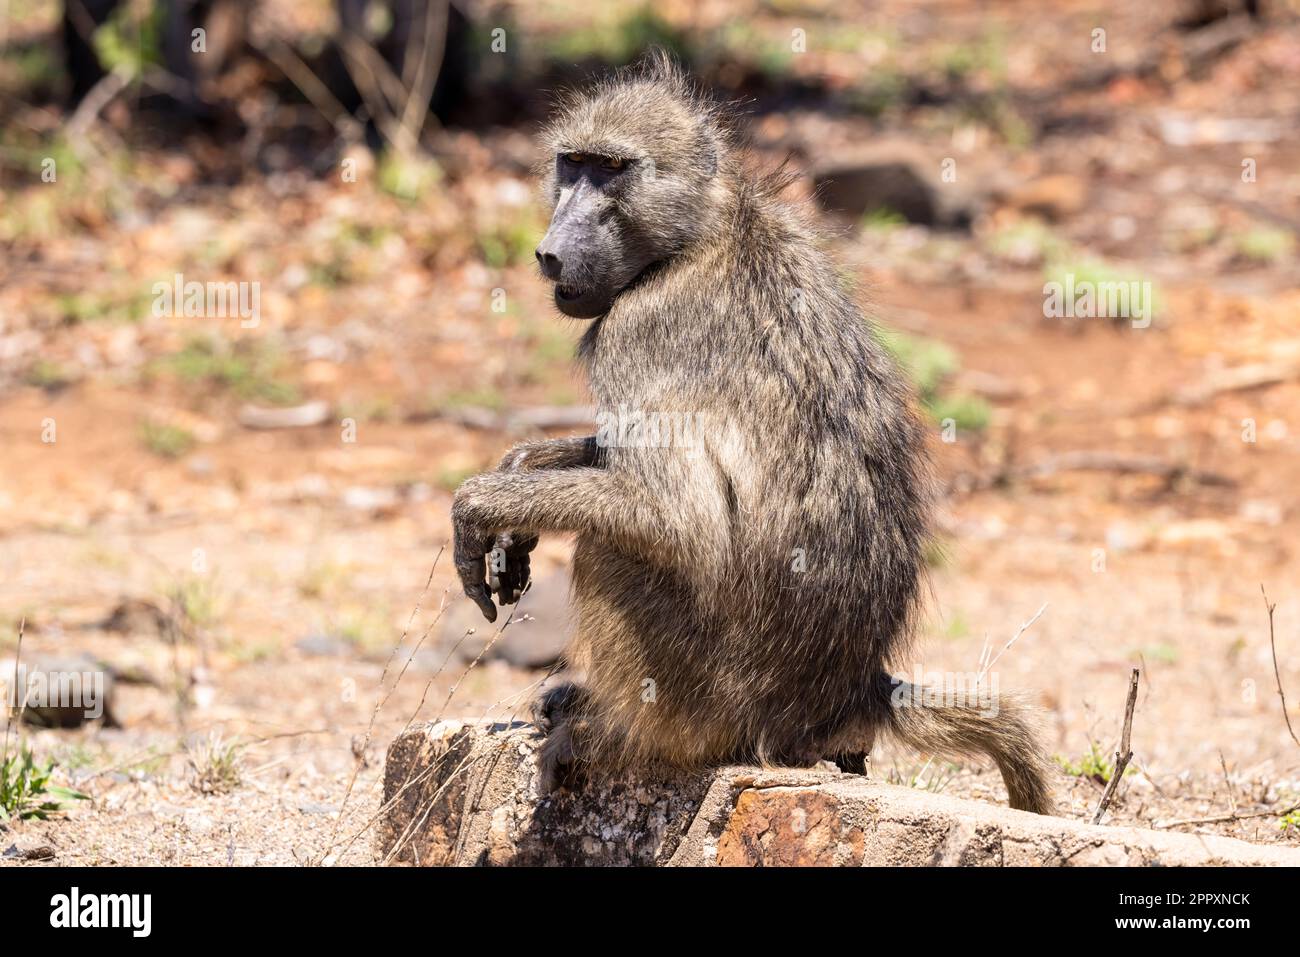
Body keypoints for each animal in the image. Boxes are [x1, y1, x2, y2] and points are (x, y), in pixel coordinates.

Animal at [451, 54, 1055, 815]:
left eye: (612, 170)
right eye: (572, 164)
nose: (552, 254)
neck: (701, 232)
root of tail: (850, 696)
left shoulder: (637, 331)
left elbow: (679, 519)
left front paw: (480, 503)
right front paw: (524, 469)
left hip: (713, 704)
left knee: (612, 548)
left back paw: (609, 734)